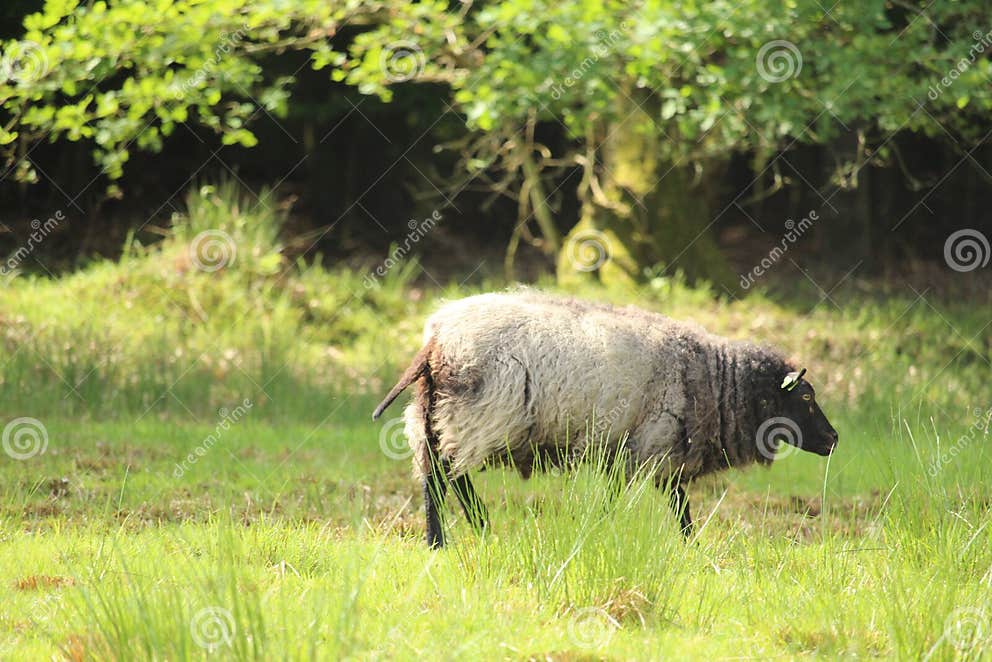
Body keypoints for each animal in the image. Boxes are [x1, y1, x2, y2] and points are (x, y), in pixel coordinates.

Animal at [373, 291, 839, 548]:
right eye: (807, 397)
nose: (835, 438)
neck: (715, 380)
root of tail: (436, 338)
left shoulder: (638, 449)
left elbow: (665, 502)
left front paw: (688, 547)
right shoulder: (652, 441)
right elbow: (657, 503)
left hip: (429, 414)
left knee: (436, 474)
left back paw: (458, 536)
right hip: (478, 415)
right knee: (447, 475)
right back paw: (455, 536)